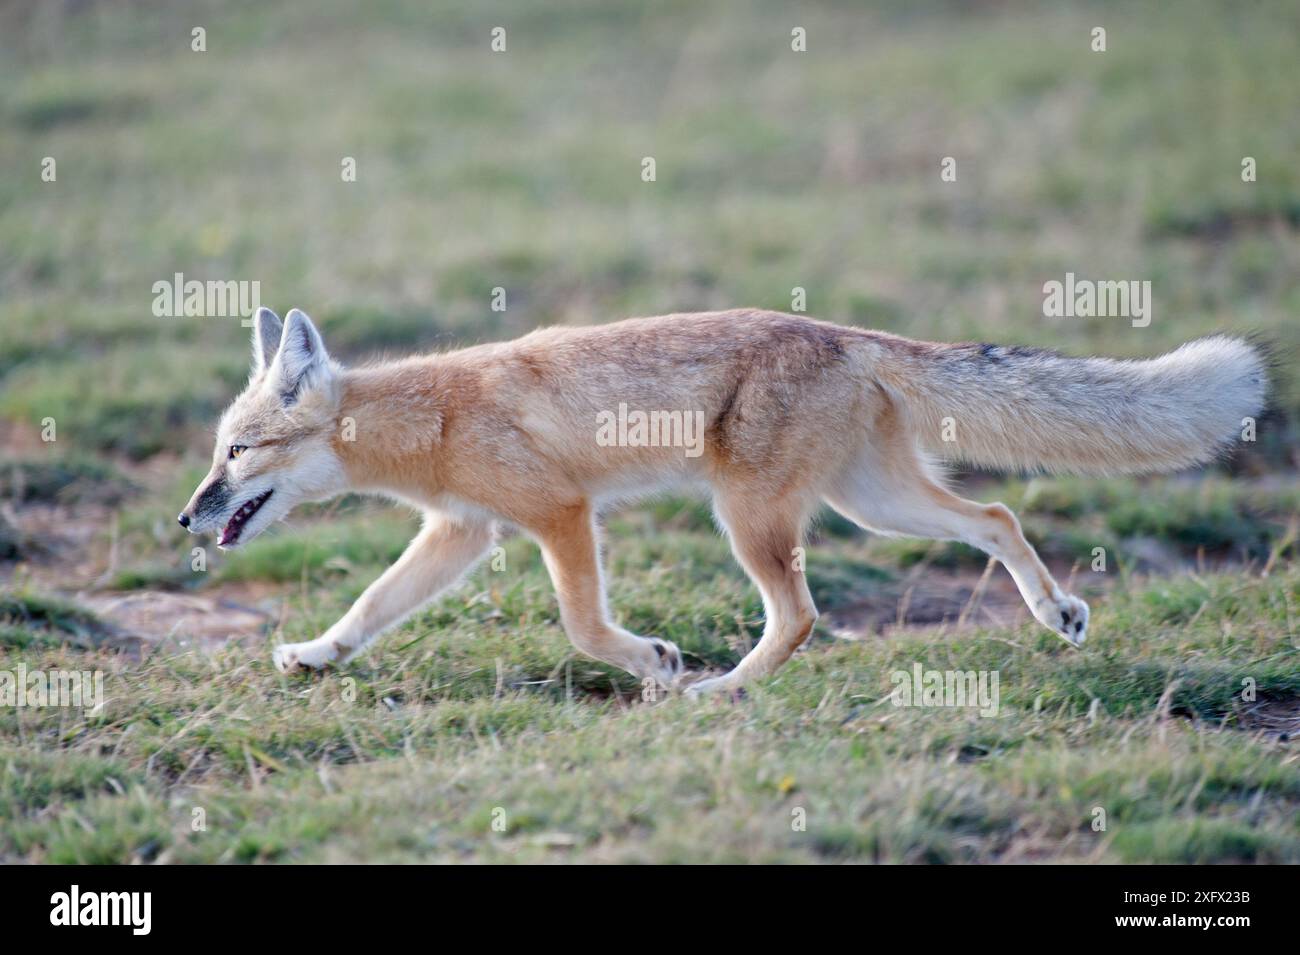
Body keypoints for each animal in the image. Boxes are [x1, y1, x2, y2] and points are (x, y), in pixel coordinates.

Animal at [179, 306, 1267, 695]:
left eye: (236, 451)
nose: (186, 516)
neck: (435, 413)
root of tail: (845, 332)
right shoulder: (463, 533)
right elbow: (369, 608)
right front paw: (315, 654)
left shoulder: (560, 515)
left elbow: (582, 625)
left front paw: (652, 662)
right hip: (875, 506)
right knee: (994, 518)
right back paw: (1059, 611)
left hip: (750, 520)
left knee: (801, 615)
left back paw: (721, 690)